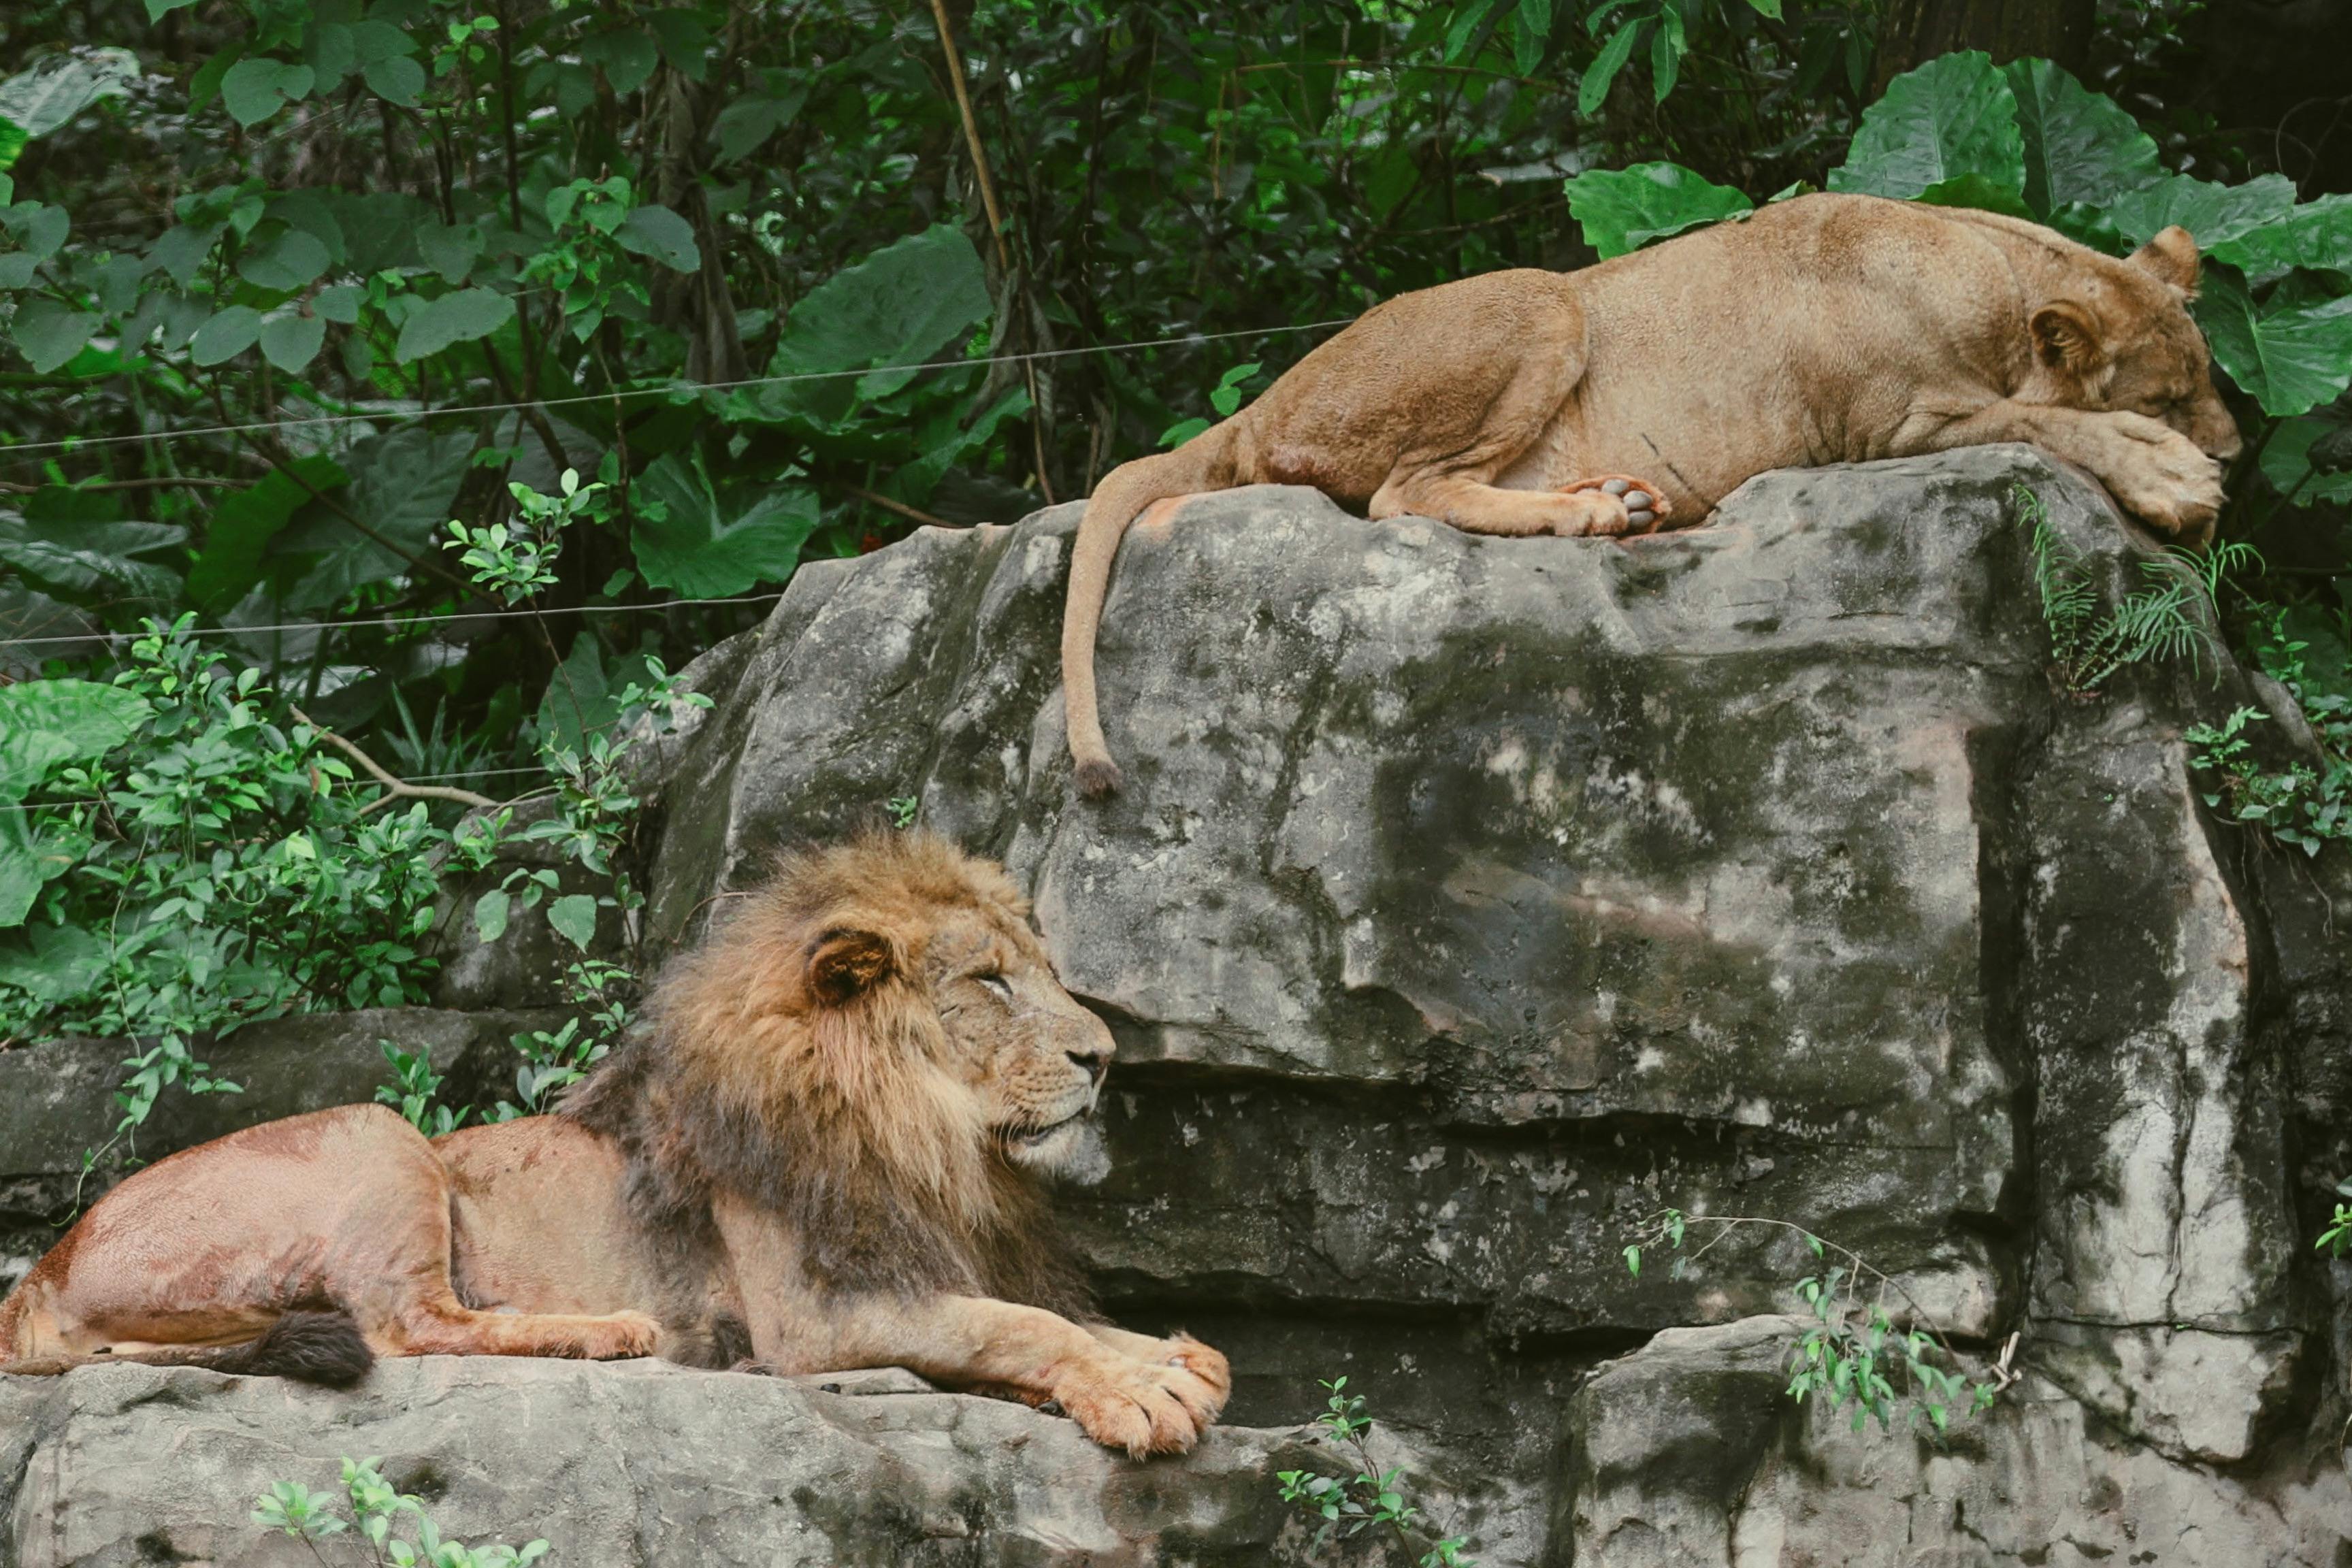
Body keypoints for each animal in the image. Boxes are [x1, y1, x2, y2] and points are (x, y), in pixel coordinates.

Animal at [0, 833, 1230, 1457]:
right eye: (988, 980)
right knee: (409, 1325)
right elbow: (1014, 1322)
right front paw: (1145, 1389)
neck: (920, 1132)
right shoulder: (813, 1315)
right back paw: (617, 1330)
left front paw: (1169, 1355)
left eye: (1042, 969)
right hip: (378, 1132)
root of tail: (41, 1271)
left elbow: (1057, 1317)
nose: (1104, 1056)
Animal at [1062, 191, 2243, 795]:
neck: (1995, 284)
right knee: (1405, 494)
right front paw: (2176, 477)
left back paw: (1624, 500)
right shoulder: (1899, 424)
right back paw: (1593, 513)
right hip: (1539, 298)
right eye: (2171, 394)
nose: (2237, 451)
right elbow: (2053, 422)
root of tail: (1261, 403)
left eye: (2215, 377)